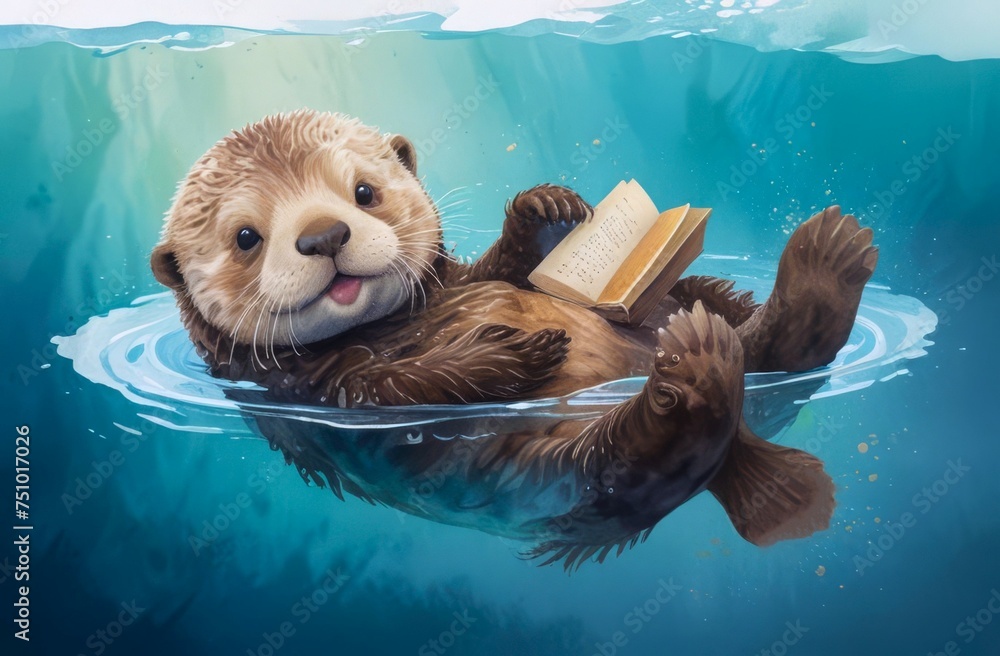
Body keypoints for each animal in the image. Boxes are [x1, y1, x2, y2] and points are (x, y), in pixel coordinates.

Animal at [151, 110, 878, 568]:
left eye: (365, 192)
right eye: (247, 237)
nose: (325, 236)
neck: (386, 323)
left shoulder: (449, 281)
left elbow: (498, 272)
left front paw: (546, 207)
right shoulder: (309, 396)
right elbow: (392, 388)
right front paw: (514, 349)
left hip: (676, 313)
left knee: (740, 331)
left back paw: (824, 263)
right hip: (551, 476)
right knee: (639, 468)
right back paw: (694, 368)